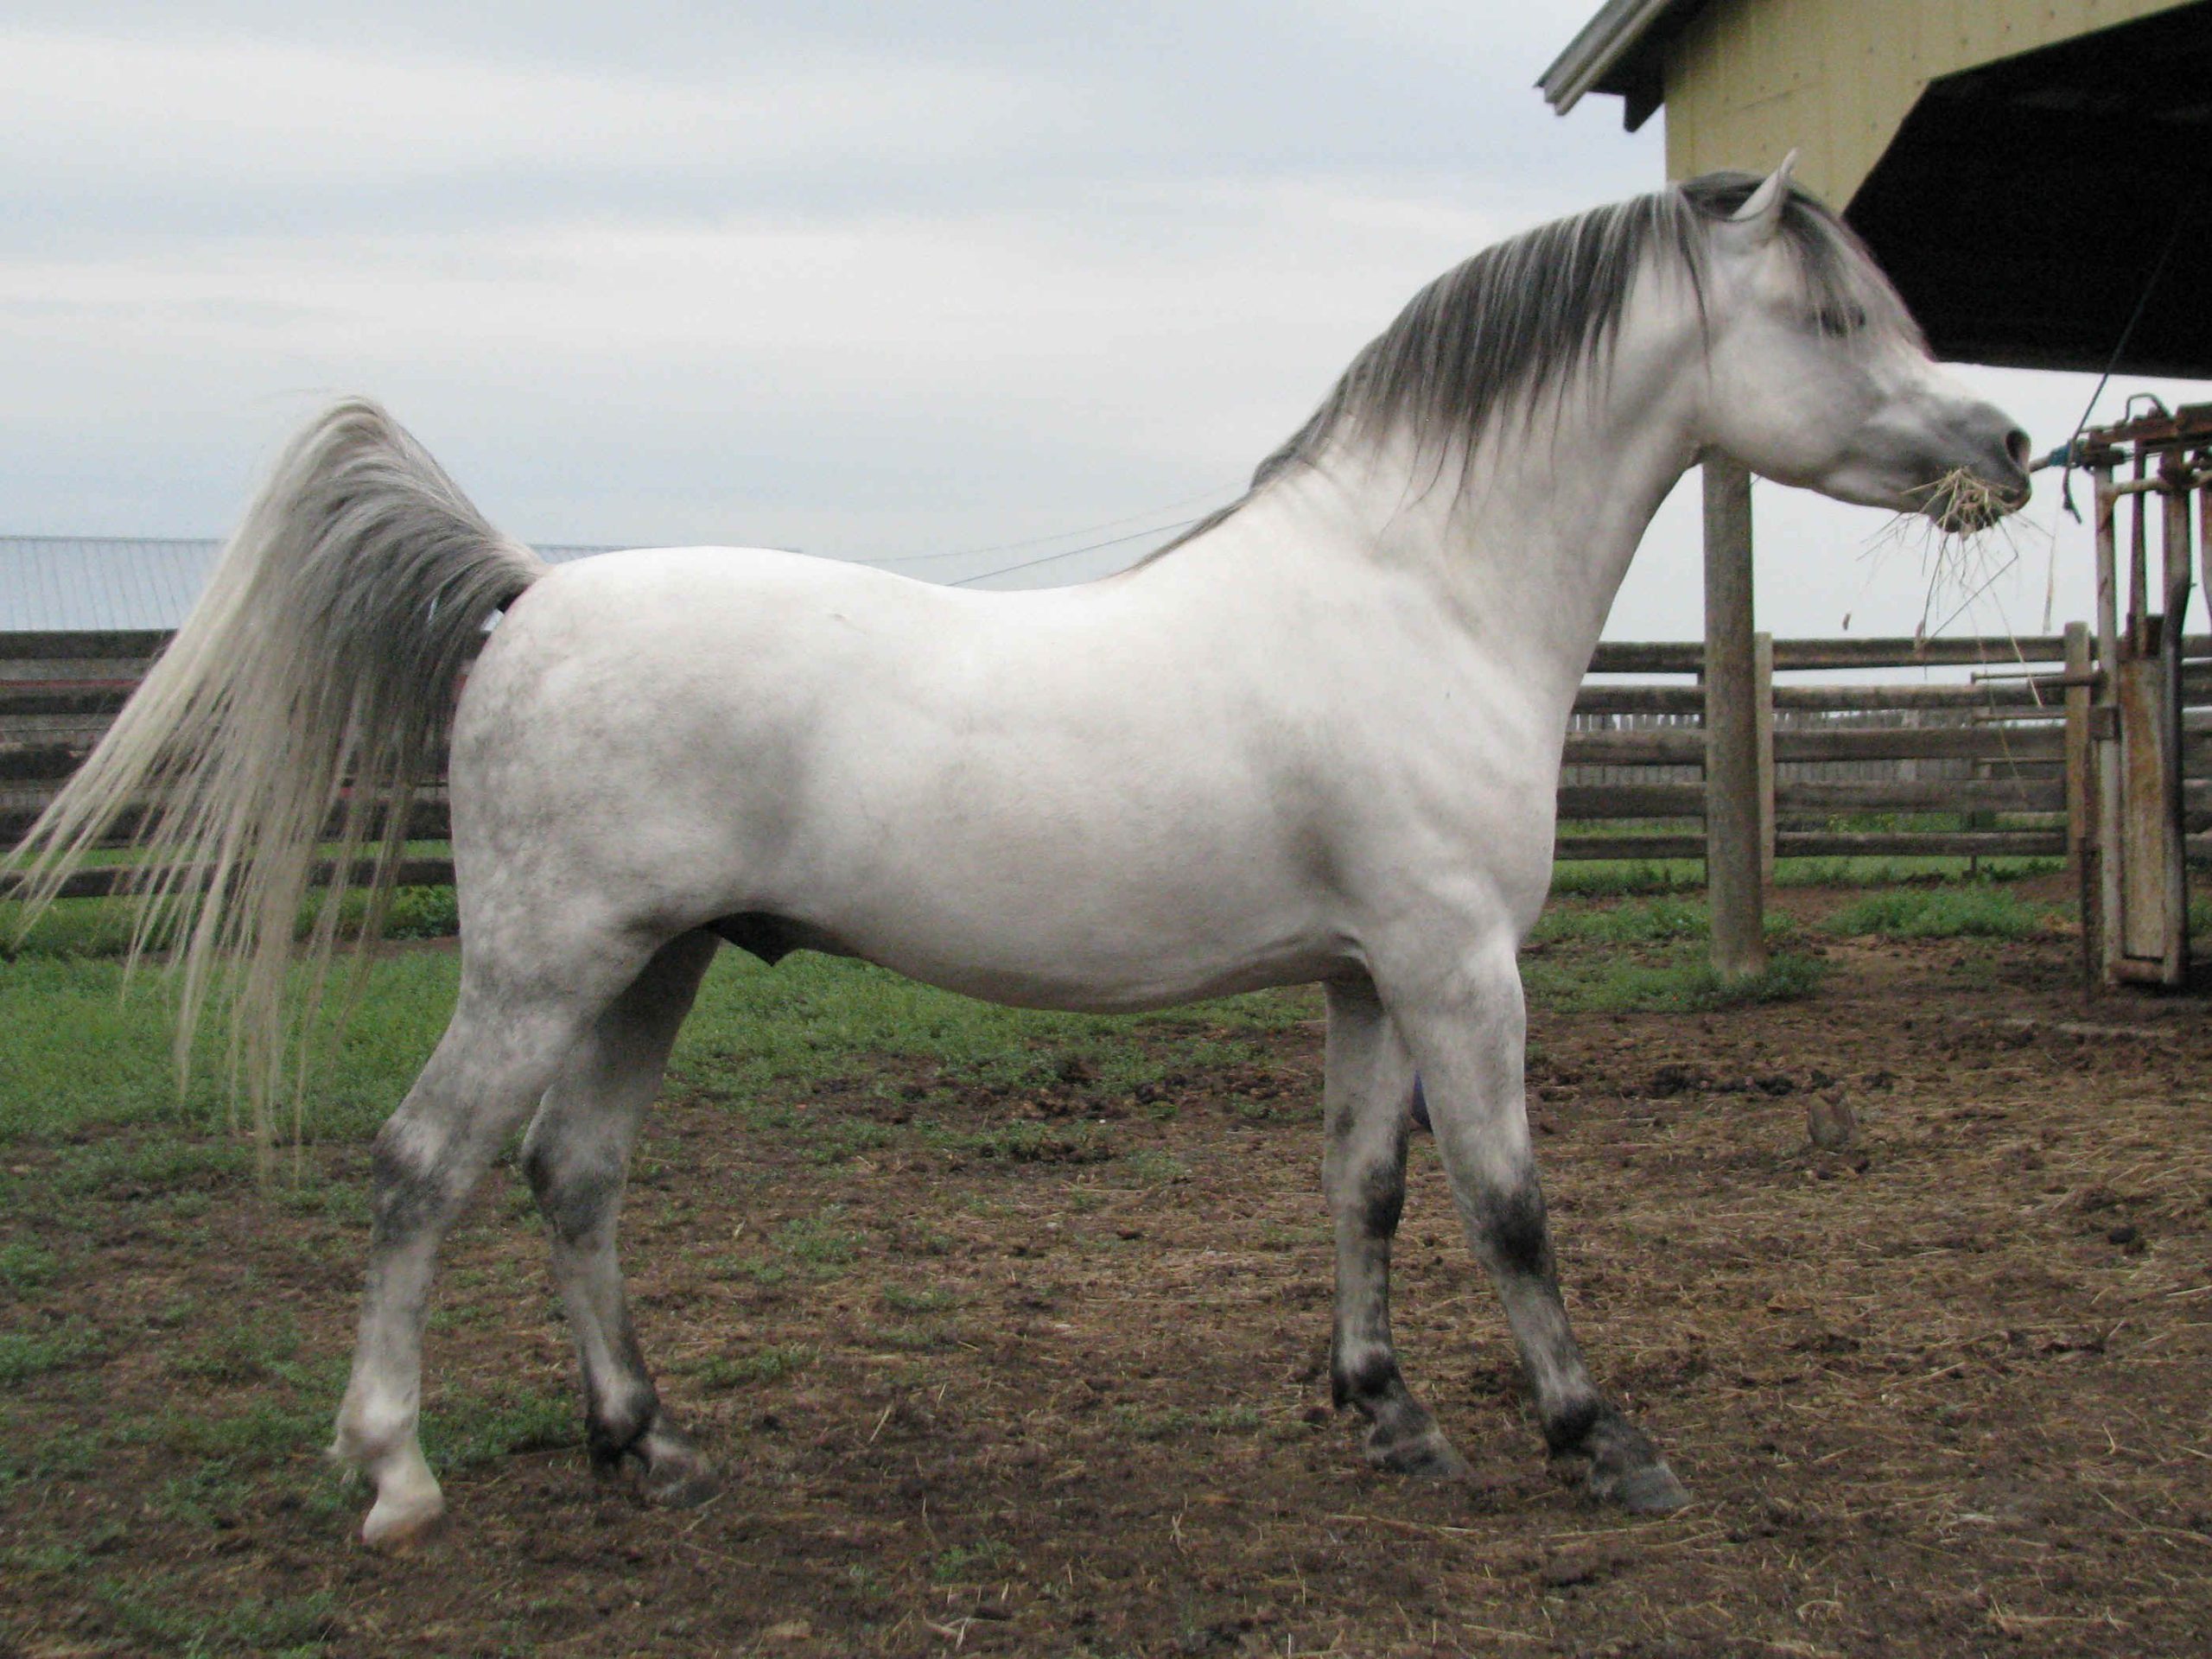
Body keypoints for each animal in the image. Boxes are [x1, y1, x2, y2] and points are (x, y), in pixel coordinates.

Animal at [16, 157, 2030, 1549]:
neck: (1416, 592)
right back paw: (398, 1478)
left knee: (570, 1179)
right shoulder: (1461, 969)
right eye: (1833, 323)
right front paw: (1595, 1440)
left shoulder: (1368, 975)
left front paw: (1385, 1413)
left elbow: (1365, 1193)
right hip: (542, 967)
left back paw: (648, 1445)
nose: (2008, 439)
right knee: (421, 1170)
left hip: (651, 967)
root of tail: (529, 598)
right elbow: (1510, 1207)